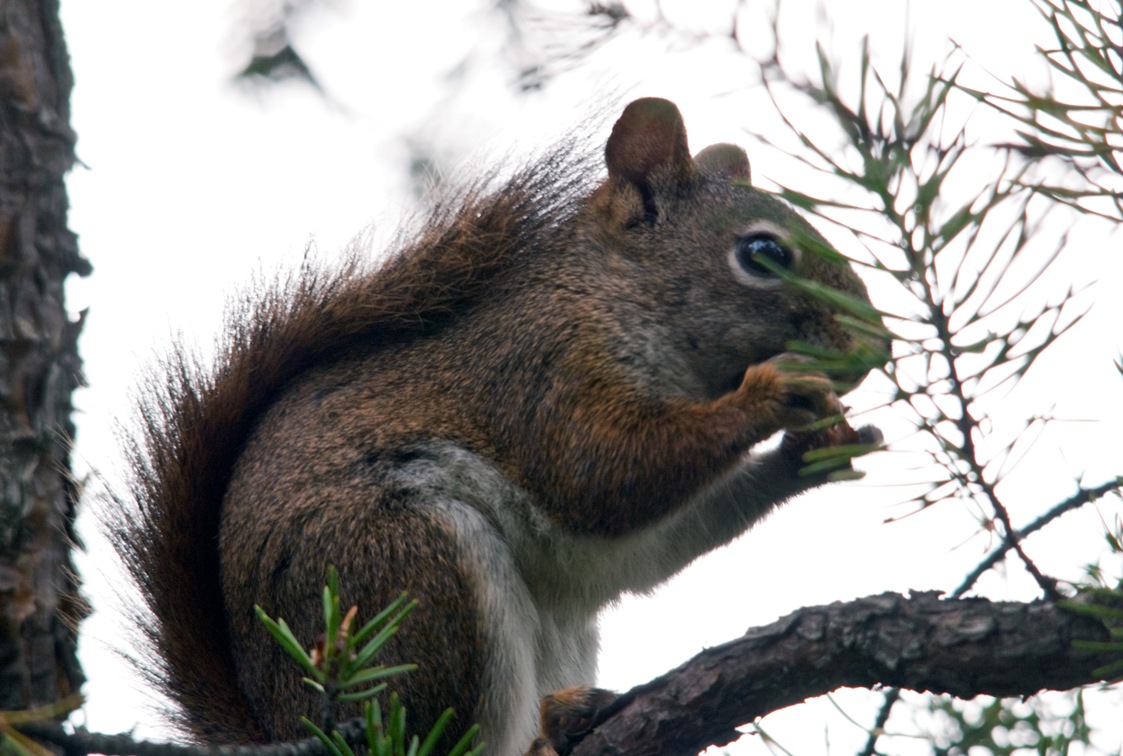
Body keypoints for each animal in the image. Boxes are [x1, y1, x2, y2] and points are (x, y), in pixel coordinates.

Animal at [111, 97, 884, 755]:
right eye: (763, 254)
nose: (877, 346)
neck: (610, 298)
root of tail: (283, 724)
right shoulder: (541, 373)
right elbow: (602, 475)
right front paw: (771, 393)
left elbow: (654, 540)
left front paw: (817, 447)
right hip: (406, 573)